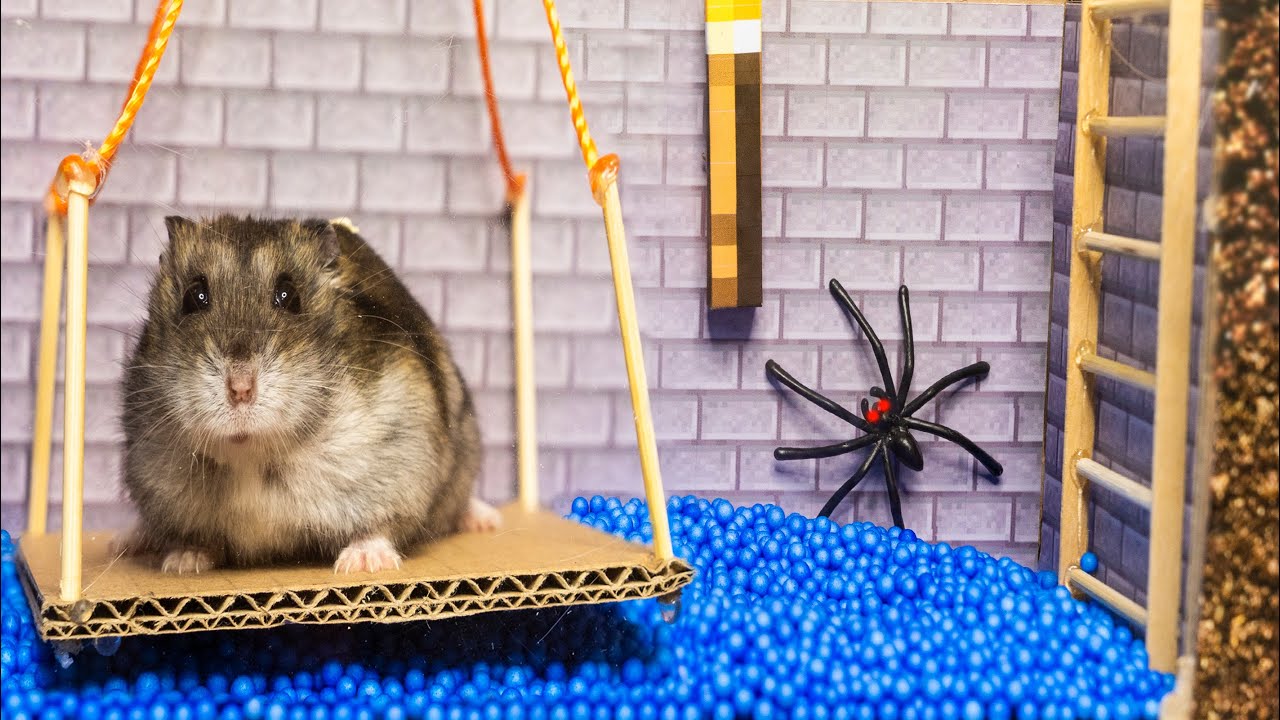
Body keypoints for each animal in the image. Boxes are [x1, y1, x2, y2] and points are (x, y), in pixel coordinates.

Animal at [117, 215, 499, 574]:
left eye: (289, 296)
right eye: (194, 296)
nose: (240, 388)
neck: (250, 456)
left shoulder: (399, 455)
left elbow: (378, 526)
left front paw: (361, 564)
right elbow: (194, 539)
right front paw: (182, 562)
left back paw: (487, 521)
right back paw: (130, 541)